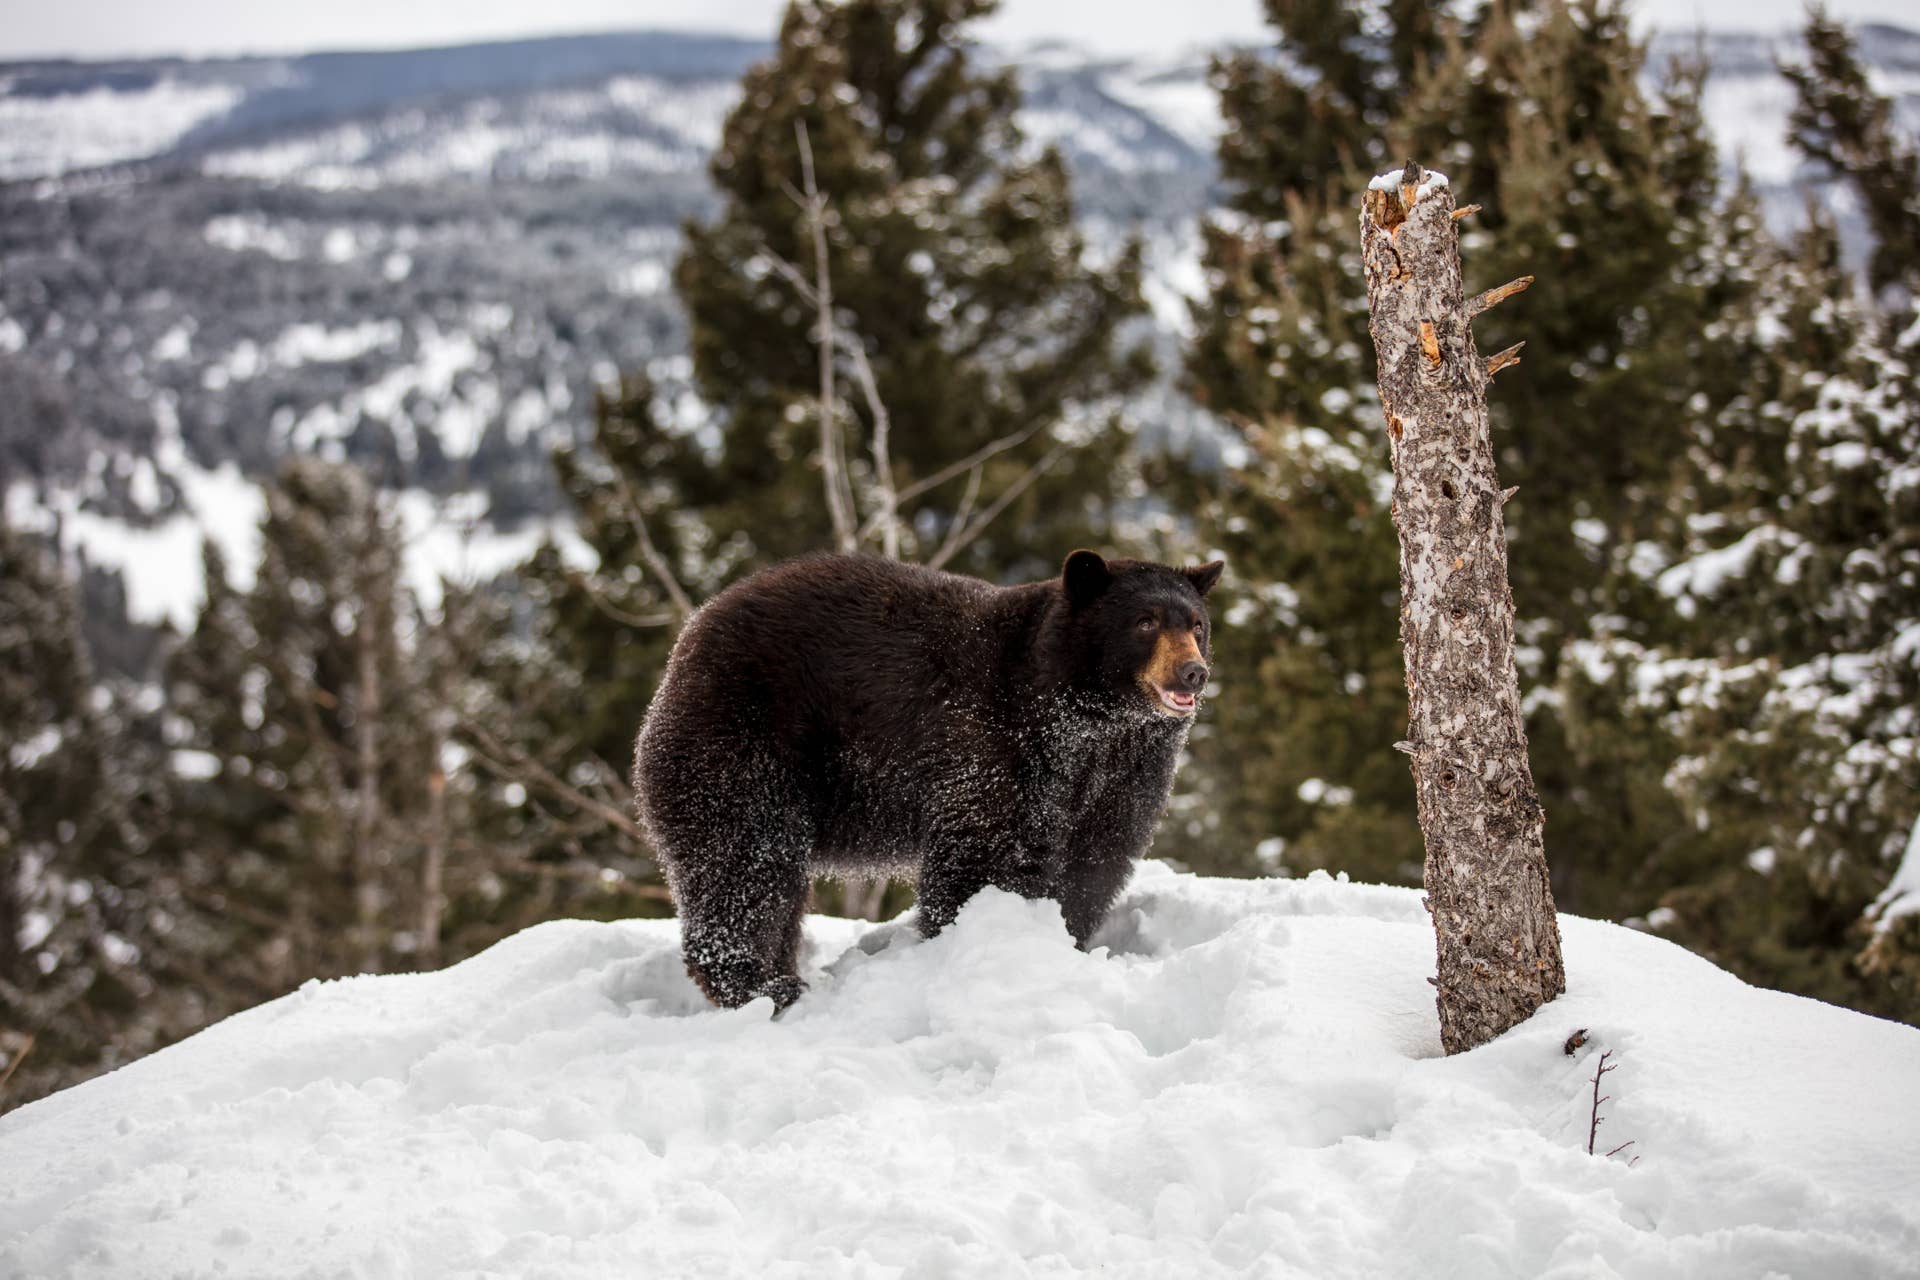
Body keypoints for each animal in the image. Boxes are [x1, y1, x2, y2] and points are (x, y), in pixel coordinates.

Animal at [632, 548, 1224, 1010]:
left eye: (1196, 625)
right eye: (1145, 621)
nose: (1193, 672)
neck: (1088, 723)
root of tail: (691, 636)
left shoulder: (1125, 777)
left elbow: (1095, 860)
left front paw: (1063, 943)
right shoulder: (990, 743)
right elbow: (980, 854)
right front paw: (973, 947)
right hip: (745, 738)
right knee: (744, 861)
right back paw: (762, 988)